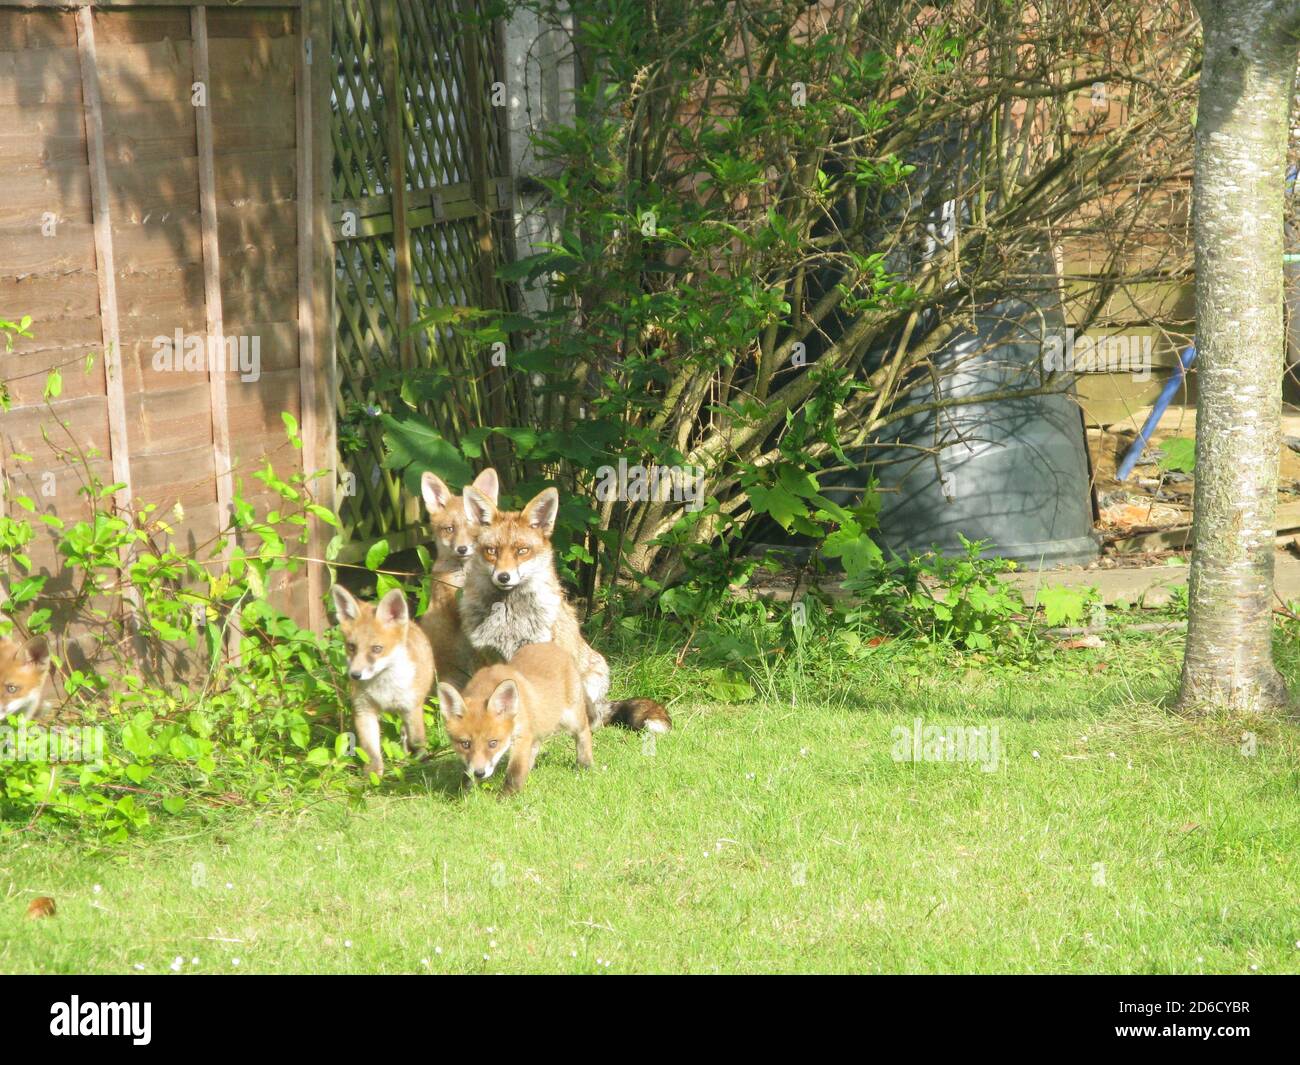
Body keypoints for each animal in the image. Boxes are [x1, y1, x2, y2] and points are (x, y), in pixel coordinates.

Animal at [331, 585, 434, 777]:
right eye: (351, 647)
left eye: (377, 649)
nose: (355, 675)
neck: (384, 688)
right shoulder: (364, 709)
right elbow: (370, 748)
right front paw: (373, 773)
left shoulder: (411, 707)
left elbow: (417, 740)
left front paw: (420, 759)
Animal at [438, 642, 592, 794]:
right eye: (465, 744)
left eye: (493, 743)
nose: (479, 773)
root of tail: (550, 645)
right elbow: (467, 772)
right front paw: (464, 792)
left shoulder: (522, 737)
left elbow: (514, 772)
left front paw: (507, 796)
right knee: (535, 747)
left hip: (571, 719)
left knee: (585, 732)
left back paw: (585, 765)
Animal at [460, 484, 671, 734]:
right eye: (491, 551)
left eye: (522, 551)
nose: (504, 577)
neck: (509, 617)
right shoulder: (486, 655)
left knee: (589, 719)